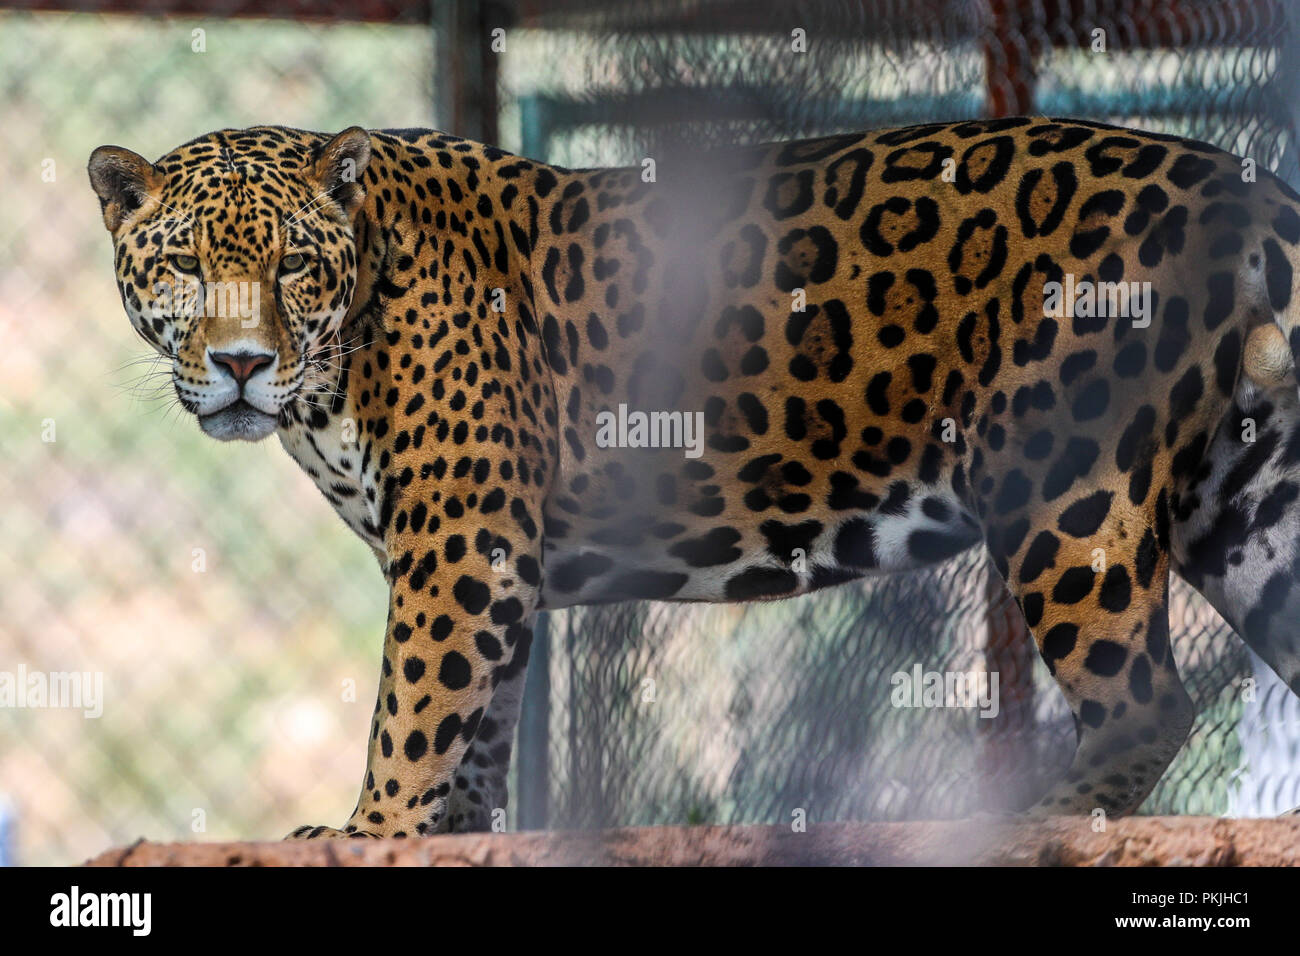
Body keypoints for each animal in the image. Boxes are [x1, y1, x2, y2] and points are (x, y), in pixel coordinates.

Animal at [88, 116, 1300, 837]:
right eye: (184, 264)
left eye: (294, 263)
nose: (243, 363)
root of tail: (1244, 187)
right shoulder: (492, 565)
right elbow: (475, 734)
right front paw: (448, 834)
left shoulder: (460, 548)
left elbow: (413, 712)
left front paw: (369, 831)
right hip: (1254, 505)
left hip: (1065, 481)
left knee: (1146, 700)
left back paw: (1036, 822)